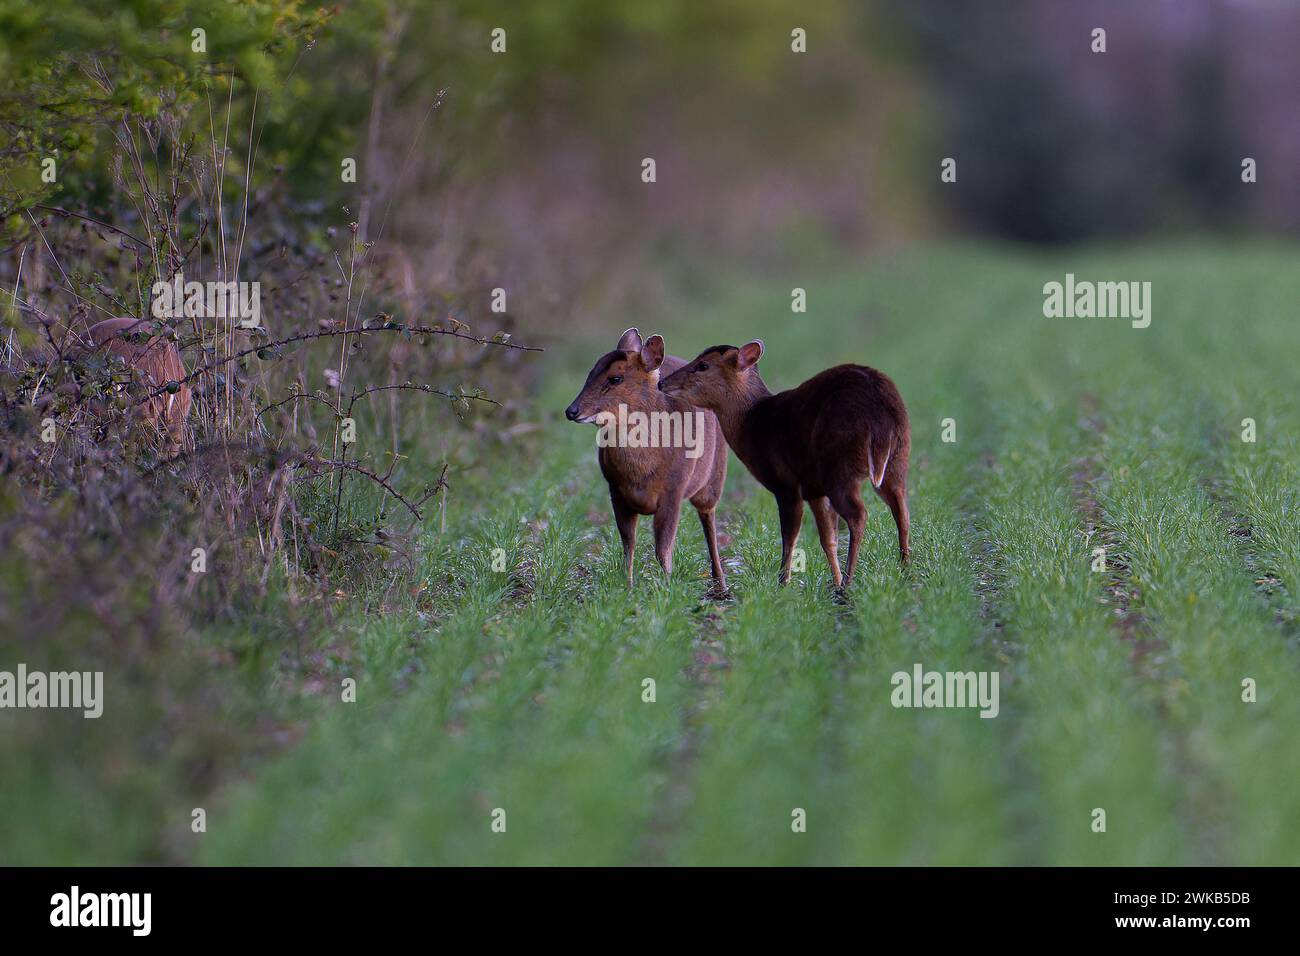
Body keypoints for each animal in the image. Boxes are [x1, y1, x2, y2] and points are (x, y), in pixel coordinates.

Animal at [565, 328, 728, 590]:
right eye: (590, 373)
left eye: (615, 378)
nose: (571, 411)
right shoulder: (615, 489)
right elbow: (628, 542)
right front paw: (627, 585)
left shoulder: (674, 488)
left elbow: (662, 548)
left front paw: (667, 588)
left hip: (714, 478)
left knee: (709, 520)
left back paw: (721, 584)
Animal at [659, 340, 909, 590]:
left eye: (702, 365)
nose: (662, 382)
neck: (752, 424)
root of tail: (880, 418)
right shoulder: (813, 489)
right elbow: (828, 539)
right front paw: (833, 580)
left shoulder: (786, 483)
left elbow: (790, 536)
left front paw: (783, 584)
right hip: (897, 460)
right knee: (901, 509)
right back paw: (904, 568)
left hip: (838, 467)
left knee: (859, 515)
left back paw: (848, 584)